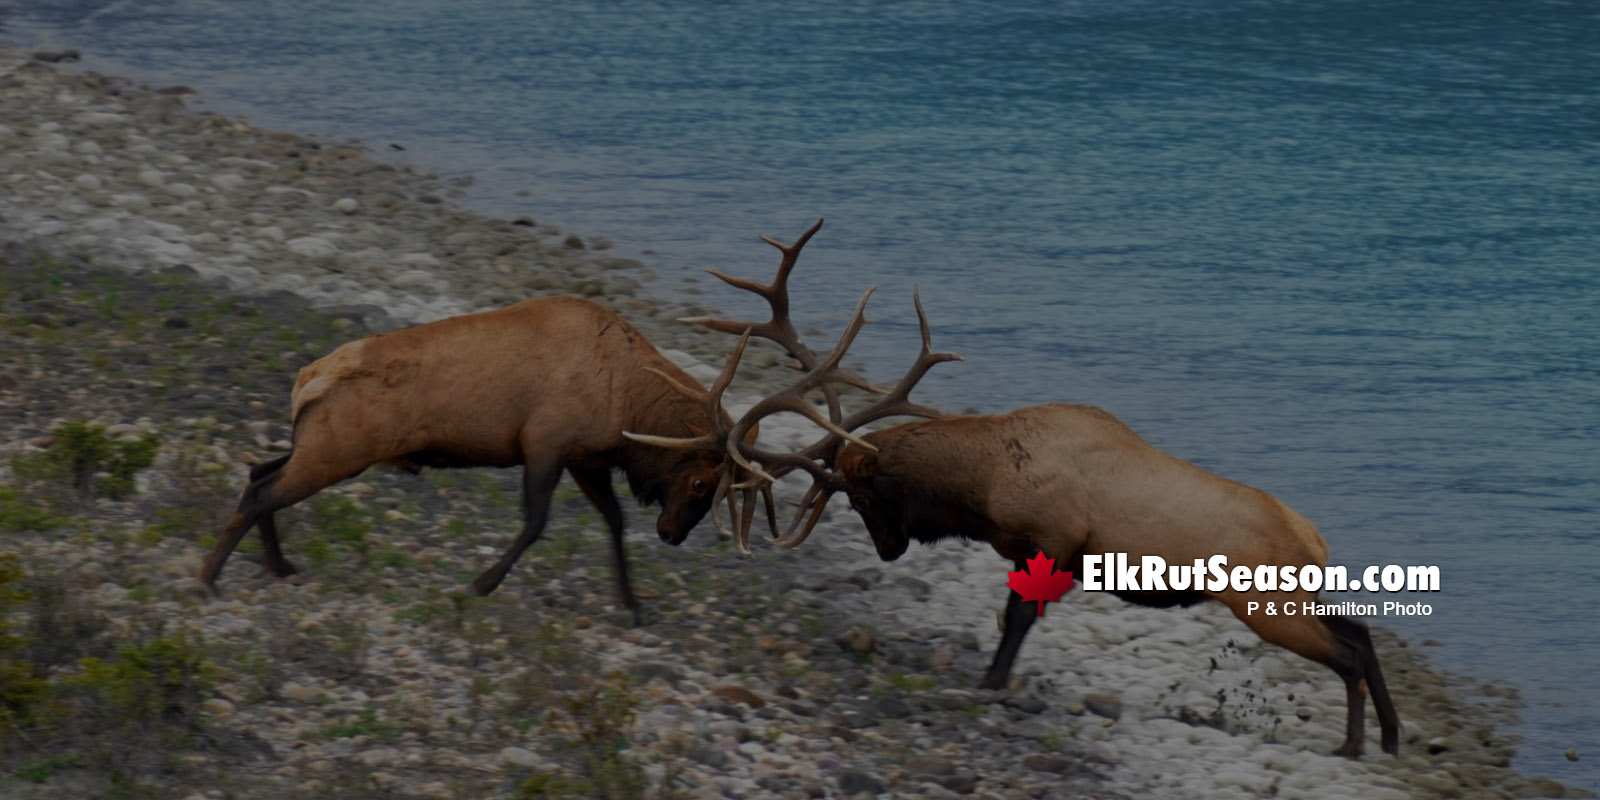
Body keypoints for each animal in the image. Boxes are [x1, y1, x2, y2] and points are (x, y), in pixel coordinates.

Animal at [196, 294, 750, 626]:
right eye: (701, 483)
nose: (671, 534)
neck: (629, 402)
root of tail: (307, 378)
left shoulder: (584, 458)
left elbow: (612, 521)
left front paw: (632, 604)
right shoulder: (545, 443)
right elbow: (535, 522)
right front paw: (482, 583)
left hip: (316, 447)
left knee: (258, 472)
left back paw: (278, 564)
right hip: (337, 453)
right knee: (261, 491)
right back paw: (210, 578)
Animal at [631, 225, 1400, 758]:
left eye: (863, 492)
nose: (886, 551)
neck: (982, 483)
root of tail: (1315, 537)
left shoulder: (1055, 539)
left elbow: (1019, 621)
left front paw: (994, 682)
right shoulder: (1027, 547)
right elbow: (1009, 616)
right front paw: (993, 677)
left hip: (1262, 600)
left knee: (1348, 651)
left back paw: (1360, 741)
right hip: (1292, 595)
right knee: (1359, 633)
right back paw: (1385, 737)